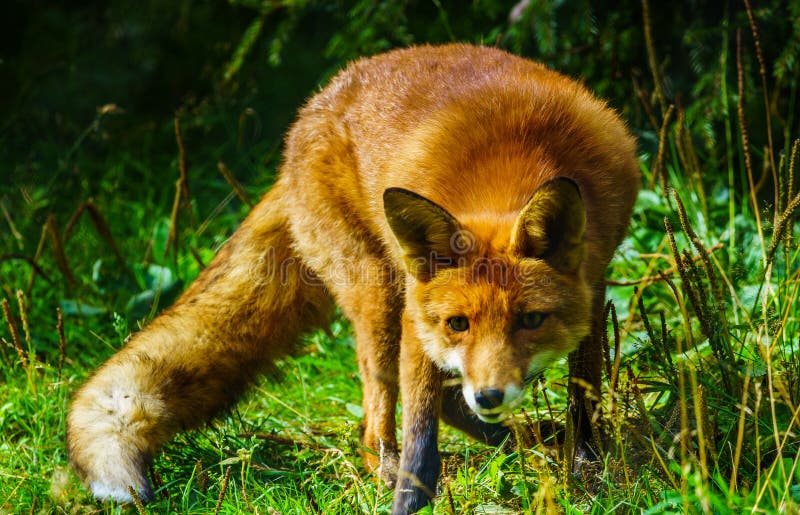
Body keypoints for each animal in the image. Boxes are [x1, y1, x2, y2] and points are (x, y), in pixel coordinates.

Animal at [67, 43, 639, 513]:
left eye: (531, 320)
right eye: (459, 323)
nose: (492, 397)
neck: (512, 158)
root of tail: (303, 121)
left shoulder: (595, 283)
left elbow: (584, 394)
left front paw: (588, 467)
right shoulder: (420, 318)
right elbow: (421, 439)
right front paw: (410, 501)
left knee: (450, 402)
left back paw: (533, 437)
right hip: (381, 298)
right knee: (379, 421)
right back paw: (394, 465)